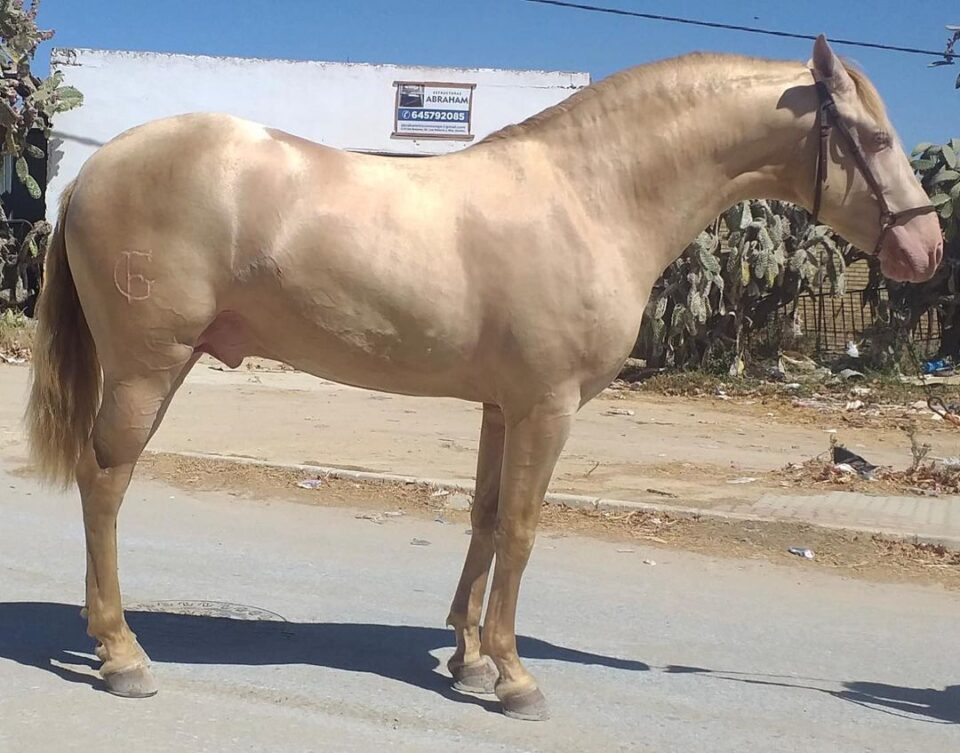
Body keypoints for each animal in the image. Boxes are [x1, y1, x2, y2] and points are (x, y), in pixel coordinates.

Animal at [26, 36, 941, 720]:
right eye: (877, 139)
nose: (927, 250)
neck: (592, 195)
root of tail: (96, 167)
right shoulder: (549, 407)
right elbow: (527, 529)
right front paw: (515, 675)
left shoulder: (504, 406)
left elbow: (487, 518)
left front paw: (465, 656)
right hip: (148, 368)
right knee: (106, 482)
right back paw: (122, 653)